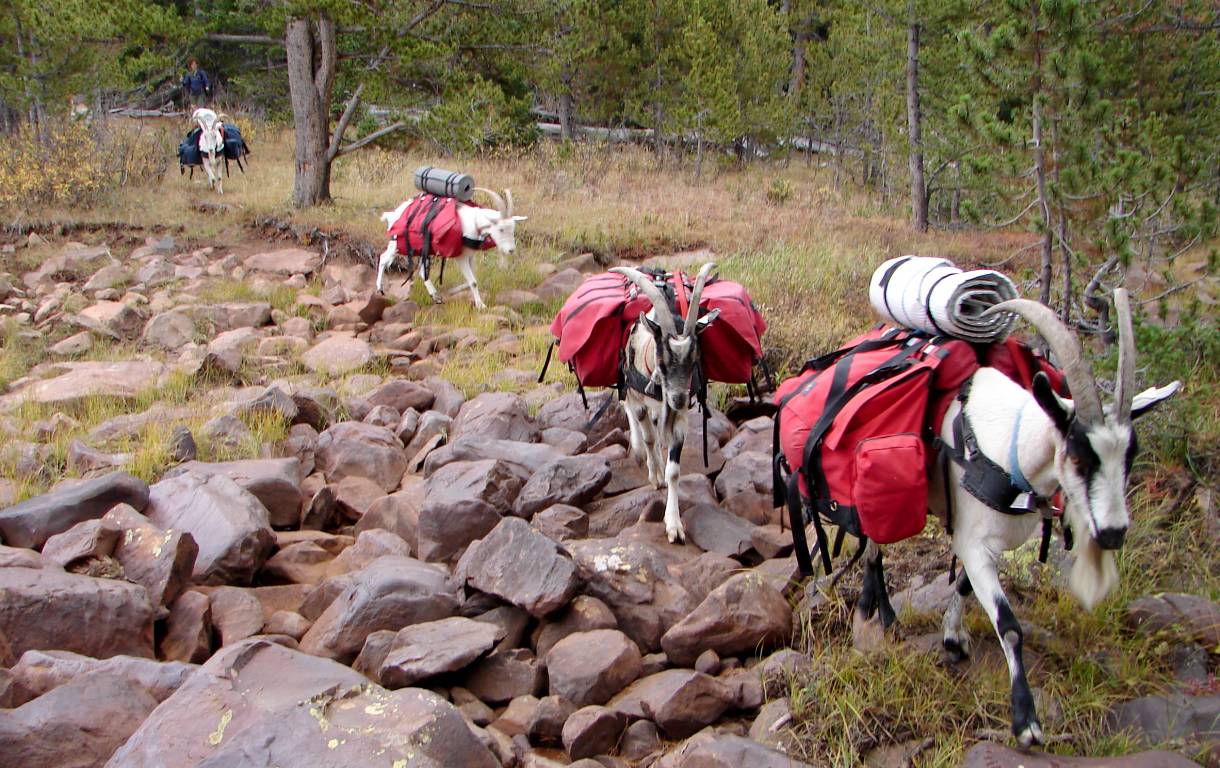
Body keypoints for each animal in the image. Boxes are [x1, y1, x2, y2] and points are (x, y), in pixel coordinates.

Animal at [375, 188, 527, 309]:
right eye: (501, 229)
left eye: (513, 229)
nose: (511, 250)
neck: (473, 222)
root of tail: (392, 214)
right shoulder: (461, 257)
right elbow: (473, 282)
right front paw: (481, 305)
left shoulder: (470, 256)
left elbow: (472, 280)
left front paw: (453, 291)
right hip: (397, 244)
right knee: (383, 258)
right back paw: (379, 289)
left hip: (425, 249)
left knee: (423, 271)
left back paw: (436, 296)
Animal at [610, 263, 721, 543]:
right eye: (662, 360)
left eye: (695, 359)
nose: (679, 399)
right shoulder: (640, 400)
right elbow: (649, 437)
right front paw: (655, 475)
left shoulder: (678, 417)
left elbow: (674, 469)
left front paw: (674, 525)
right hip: (628, 385)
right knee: (630, 411)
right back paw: (640, 450)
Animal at [846, 289, 1179, 747]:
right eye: (1078, 456)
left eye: (1130, 456)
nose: (1112, 533)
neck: (1011, 450)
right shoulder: (973, 541)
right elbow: (1010, 626)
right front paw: (1027, 722)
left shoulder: (986, 542)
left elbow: (965, 585)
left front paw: (953, 636)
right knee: (874, 542)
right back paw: (876, 611)